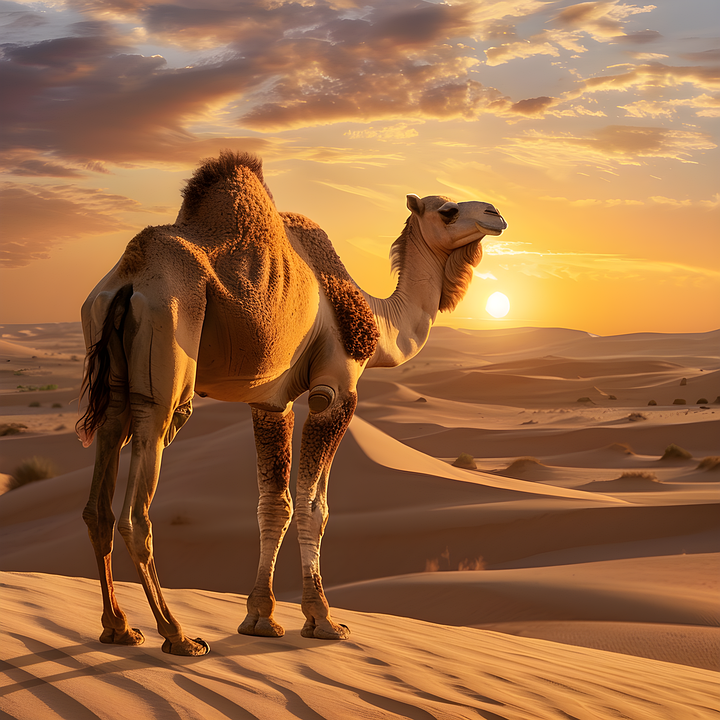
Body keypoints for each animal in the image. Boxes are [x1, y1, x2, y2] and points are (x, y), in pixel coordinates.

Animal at [77, 151, 507, 656]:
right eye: (448, 211)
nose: (496, 213)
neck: (379, 322)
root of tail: (127, 283)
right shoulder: (336, 390)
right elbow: (313, 508)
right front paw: (322, 620)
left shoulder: (271, 403)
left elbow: (273, 505)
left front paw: (260, 619)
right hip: (168, 357)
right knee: (137, 507)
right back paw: (177, 634)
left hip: (111, 372)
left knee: (99, 498)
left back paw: (118, 627)